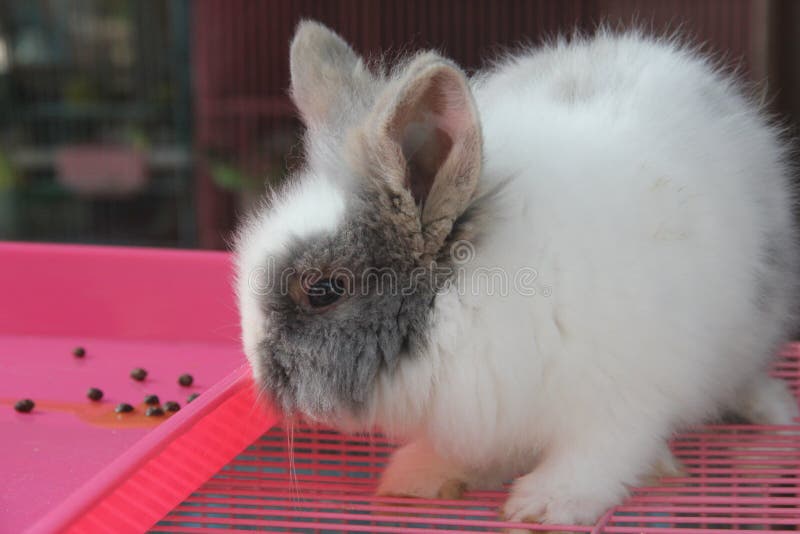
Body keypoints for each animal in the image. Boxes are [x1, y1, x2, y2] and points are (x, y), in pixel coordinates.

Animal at [234, 20, 800, 526]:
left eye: (323, 290)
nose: (259, 374)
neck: (463, 307)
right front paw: (419, 477)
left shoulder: (619, 404)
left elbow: (598, 458)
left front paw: (547, 505)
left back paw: (768, 409)